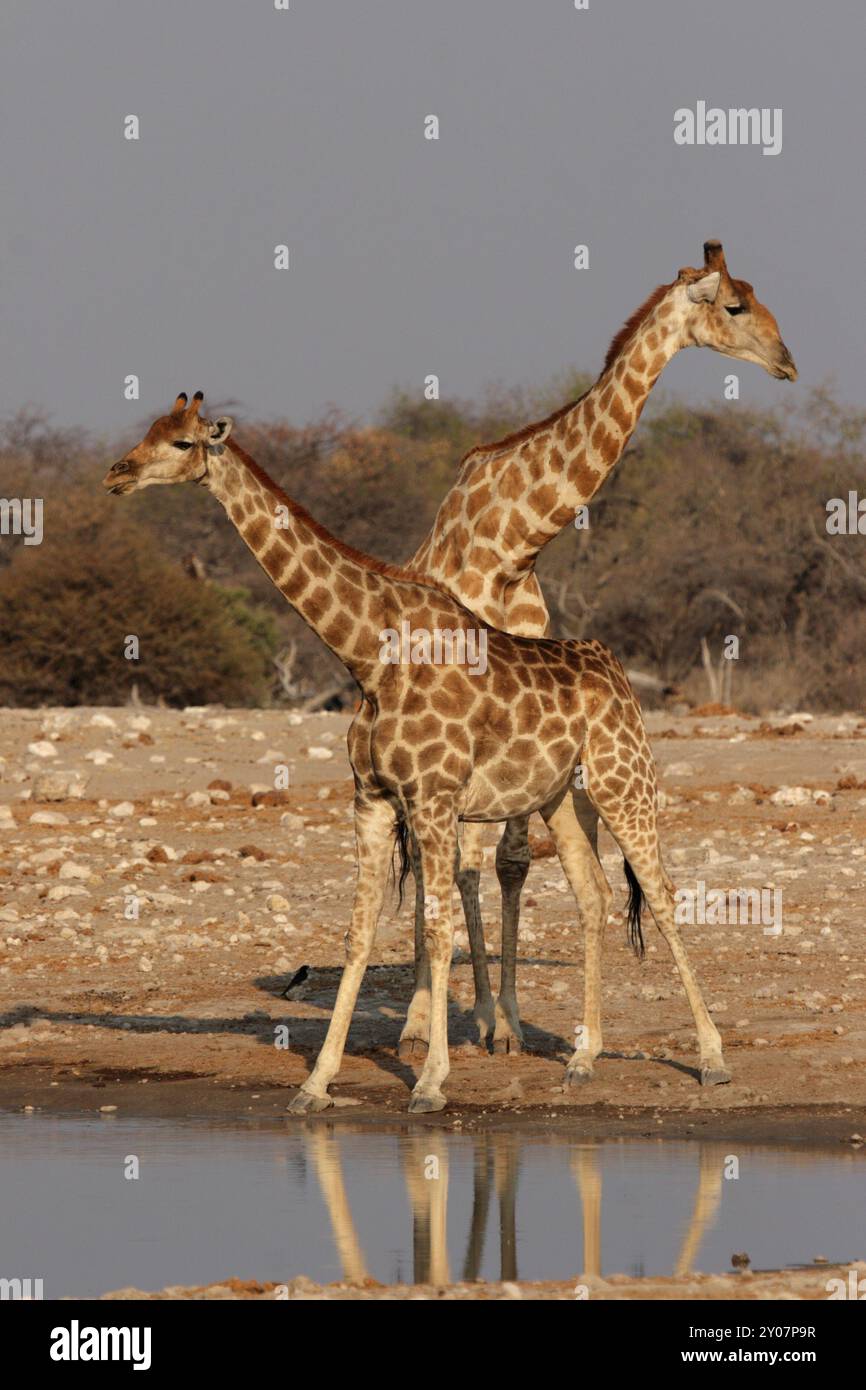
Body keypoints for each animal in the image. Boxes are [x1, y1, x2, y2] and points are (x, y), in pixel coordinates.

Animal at [102, 392, 729, 1111]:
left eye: (182, 443)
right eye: (149, 429)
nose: (117, 472)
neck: (367, 659)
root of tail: (617, 671)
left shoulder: (432, 798)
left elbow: (437, 925)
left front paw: (430, 1082)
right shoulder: (371, 800)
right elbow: (357, 933)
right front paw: (316, 1084)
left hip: (624, 782)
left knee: (662, 893)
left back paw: (712, 1059)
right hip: (561, 799)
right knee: (595, 895)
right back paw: (583, 1059)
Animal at [402, 239, 797, 1058]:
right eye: (735, 305)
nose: (788, 362)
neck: (512, 544)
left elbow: (512, 861)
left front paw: (507, 1020)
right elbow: (461, 864)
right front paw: (450, 1017)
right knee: (432, 860)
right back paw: (422, 1015)